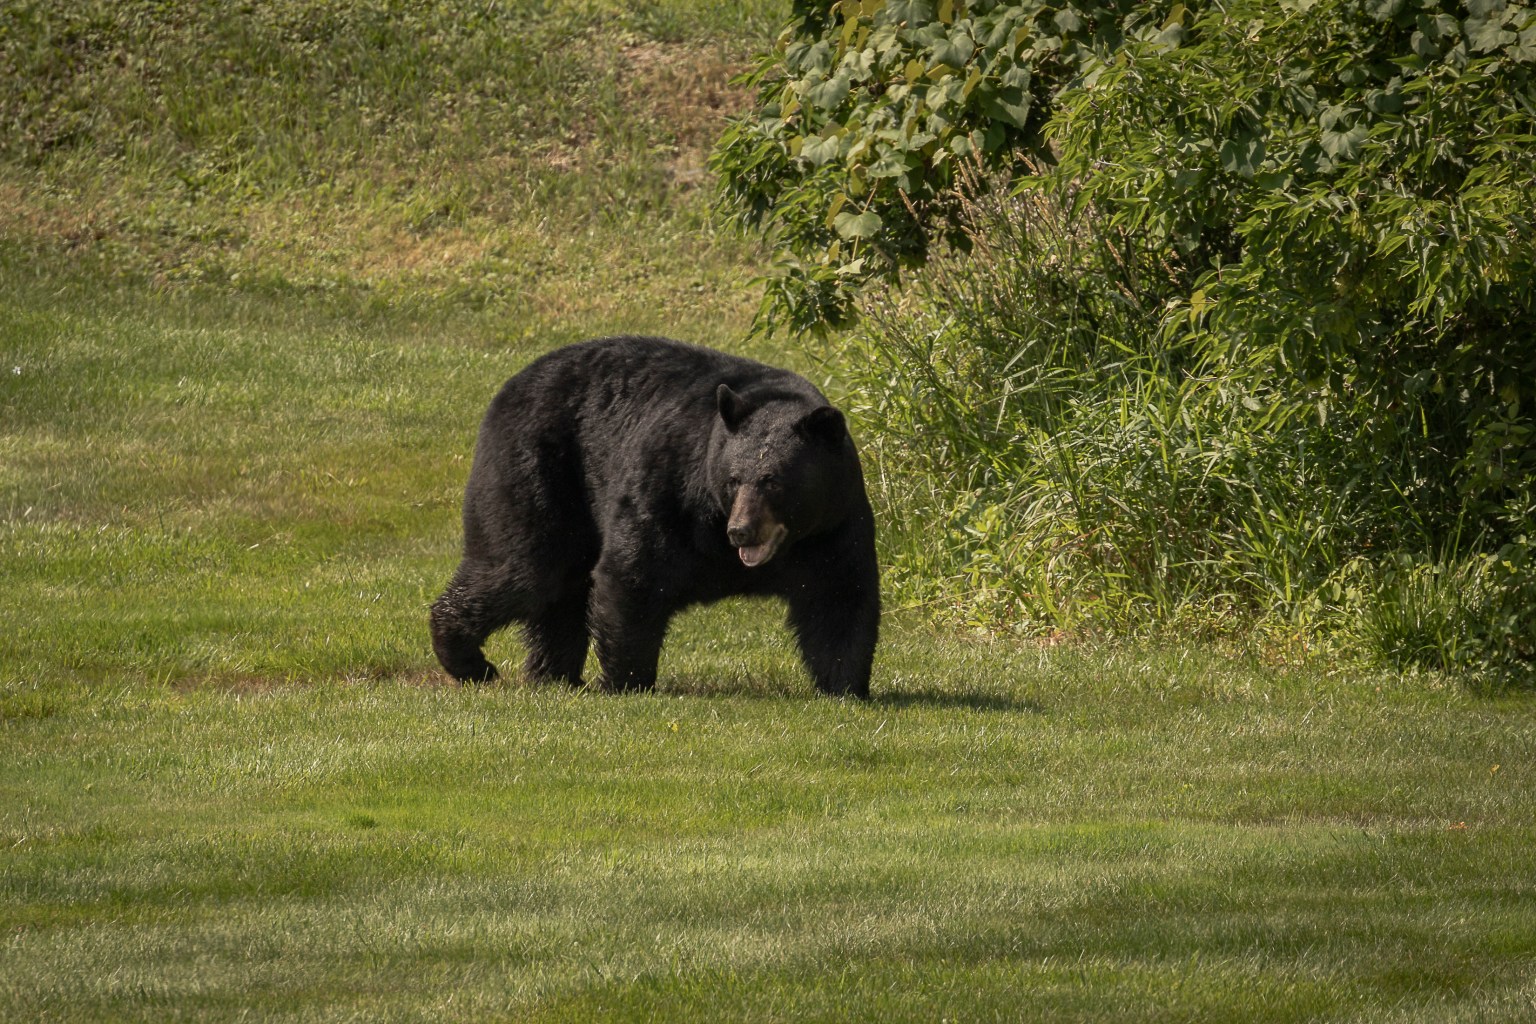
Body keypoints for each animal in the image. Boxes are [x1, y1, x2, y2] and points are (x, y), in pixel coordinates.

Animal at [429, 335, 880, 698]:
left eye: (773, 481)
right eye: (734, 479)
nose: (741, 531)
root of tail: (510, 384)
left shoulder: (833, 527)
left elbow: (838, 597)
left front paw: (845, 686)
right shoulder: (670, 488)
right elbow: (635, 572)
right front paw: (625, 680)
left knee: (559, 592)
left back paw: (553, 675)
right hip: (538, 470)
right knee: (524, 568)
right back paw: (470, 660)